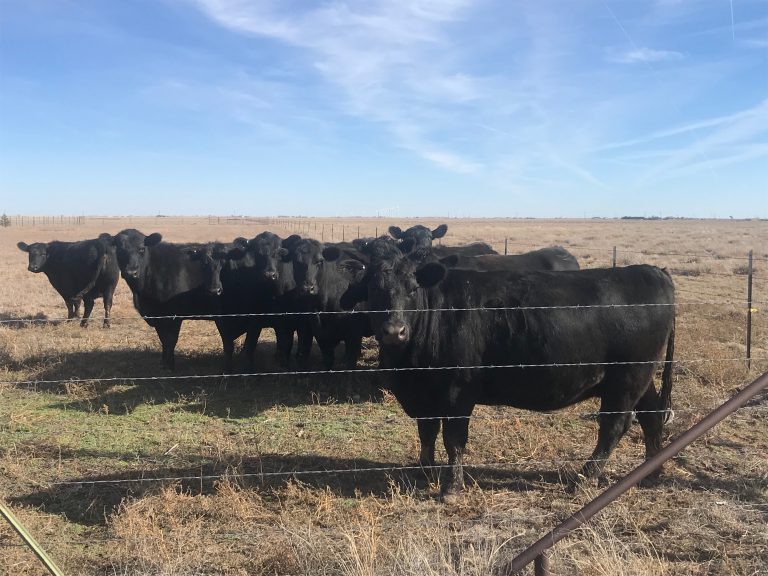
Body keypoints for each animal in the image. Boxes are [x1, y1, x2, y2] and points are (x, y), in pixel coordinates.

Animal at [105, 229, 228, 370]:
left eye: (141, 249)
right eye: (120, 250)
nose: (131, 272)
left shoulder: (173, 315)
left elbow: (170, 340)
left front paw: (170, 366)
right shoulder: (158, 316)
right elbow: (163, 339)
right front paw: (164, 362)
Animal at [349, 240, 675, 500]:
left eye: (413, 288)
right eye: (374, 289)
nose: (394, 331)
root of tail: (652, 271)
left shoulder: (457, 392)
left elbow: (453, 440)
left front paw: (451, 488)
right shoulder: (424, 394)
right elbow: (427, 432)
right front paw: (425, 471)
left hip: (627, 380)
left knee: (614, 426)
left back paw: (584, 479)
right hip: (641, 378)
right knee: (651, 416)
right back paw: (651, 471)